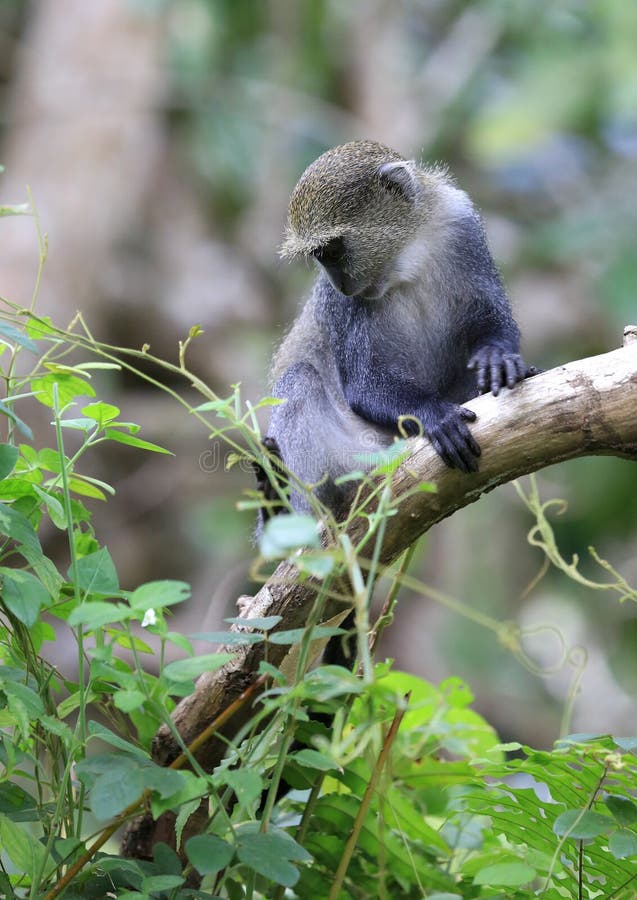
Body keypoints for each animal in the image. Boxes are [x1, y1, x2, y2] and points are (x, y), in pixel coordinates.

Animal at [261, 139, 531, 519]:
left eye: (332, 250)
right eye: (320, 255)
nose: (339, 282)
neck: (406, 257)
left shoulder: (461, 226)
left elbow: (490, 314)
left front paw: (499, 357)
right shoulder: (344, 304)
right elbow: (365, 385)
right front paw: (435, 415)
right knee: (299, 378)